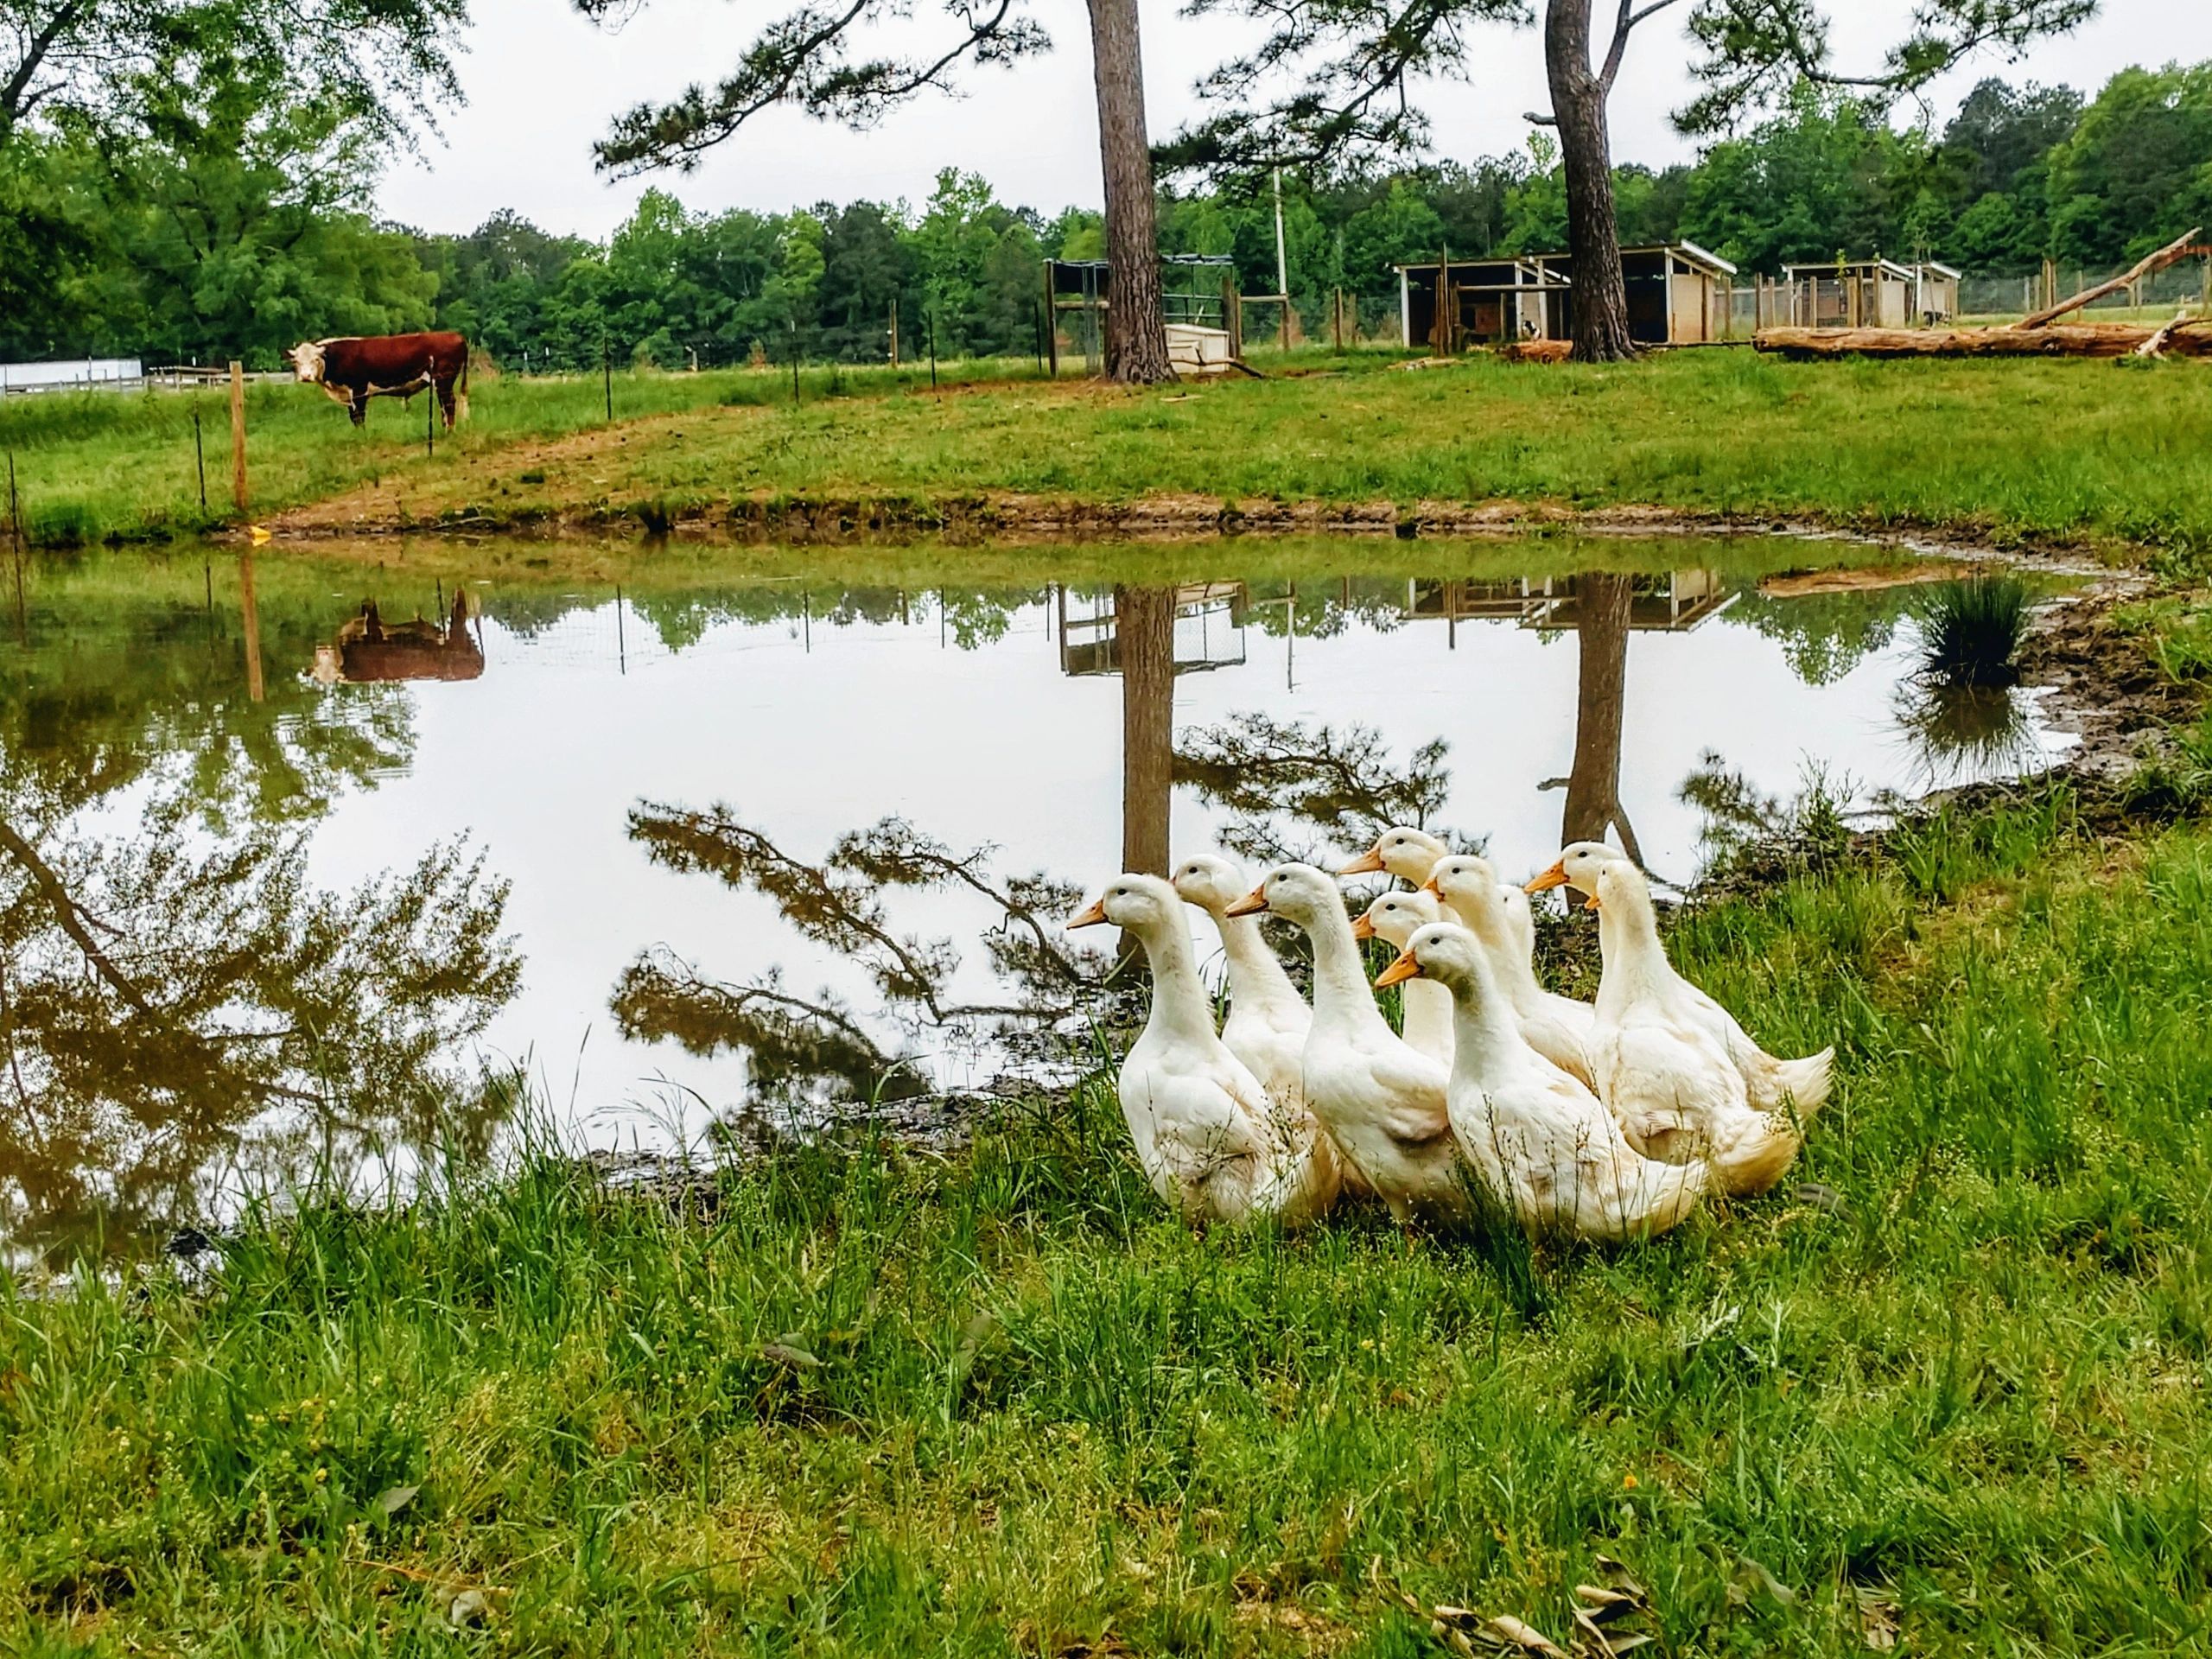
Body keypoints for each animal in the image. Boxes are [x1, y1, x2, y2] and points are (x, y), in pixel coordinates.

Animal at [288, 331, 470, 430]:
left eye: (315, 360)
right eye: (297, 361)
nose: (305, 376)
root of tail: (456, 335)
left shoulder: (359, 390)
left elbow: (359, 417)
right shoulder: (348, 394)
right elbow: (353, 417)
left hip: (443, 380)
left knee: (449, 403)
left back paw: (449, 431)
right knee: (444, 405)